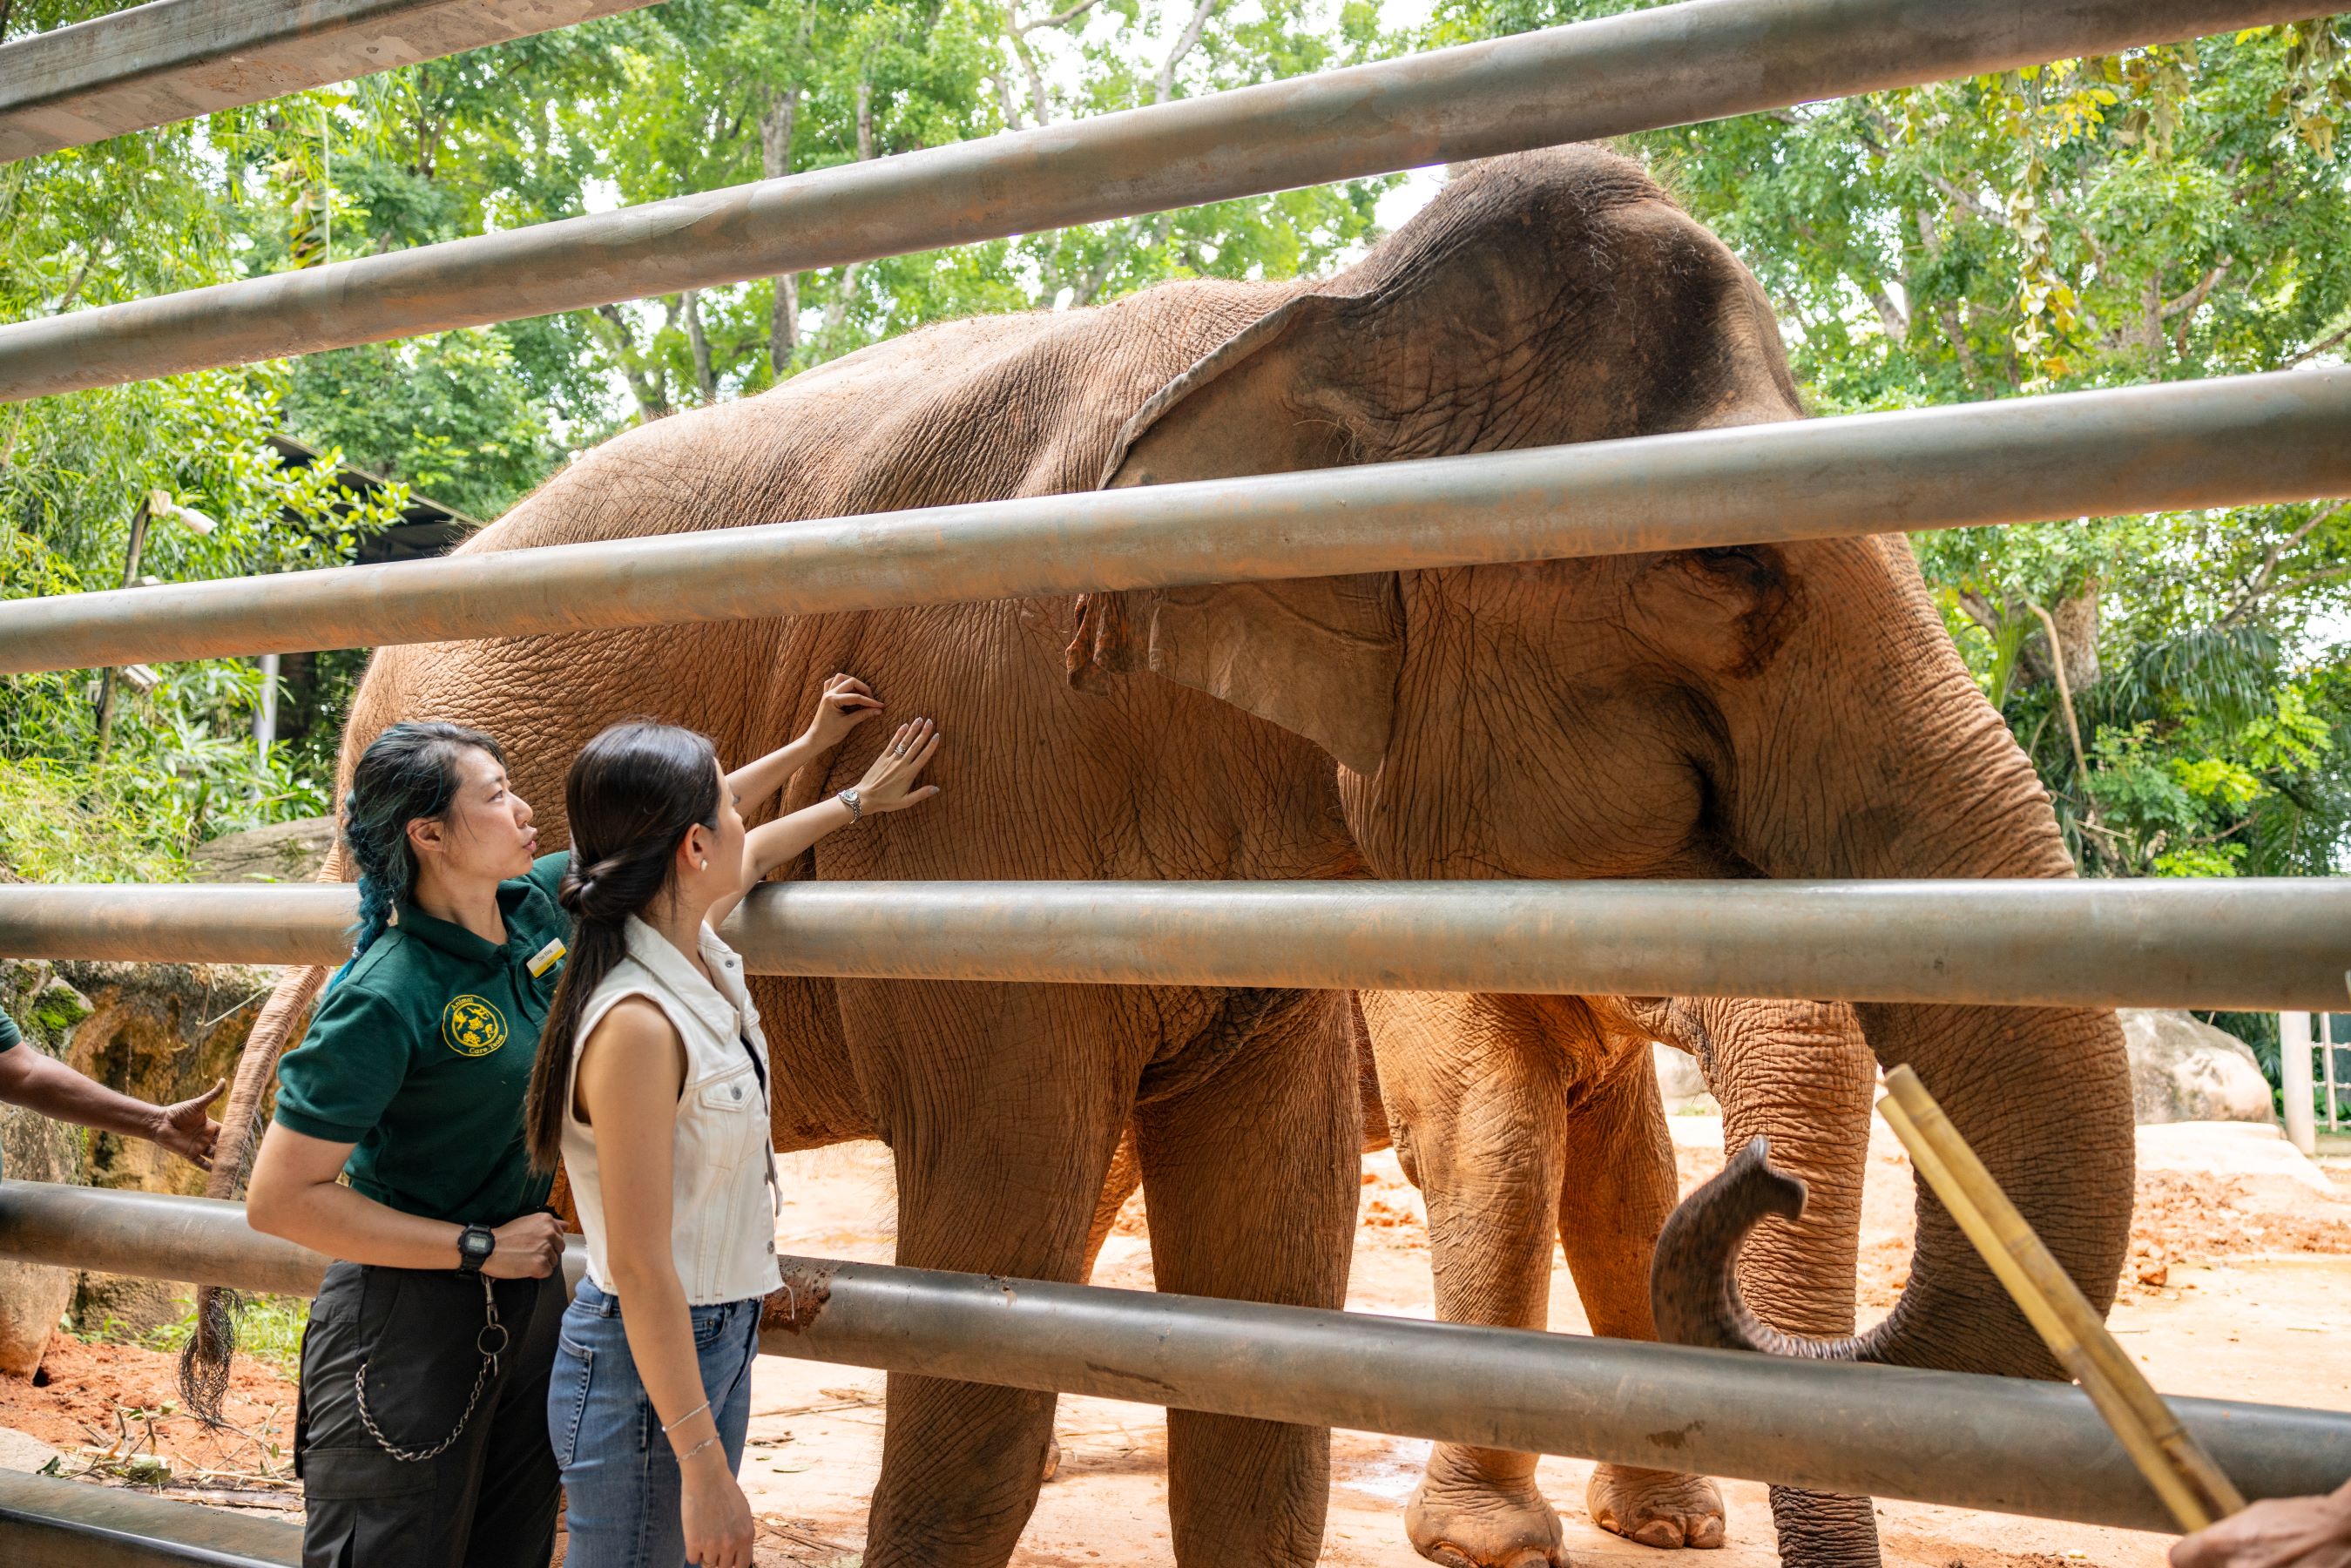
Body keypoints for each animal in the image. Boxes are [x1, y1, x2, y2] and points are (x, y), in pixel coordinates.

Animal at [208, 143, 2135, 1568]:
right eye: (1726, 562)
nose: (1772, 1187)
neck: (1304, 324)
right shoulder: (999, 797)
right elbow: (998, 1347)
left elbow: (1270, 1334)